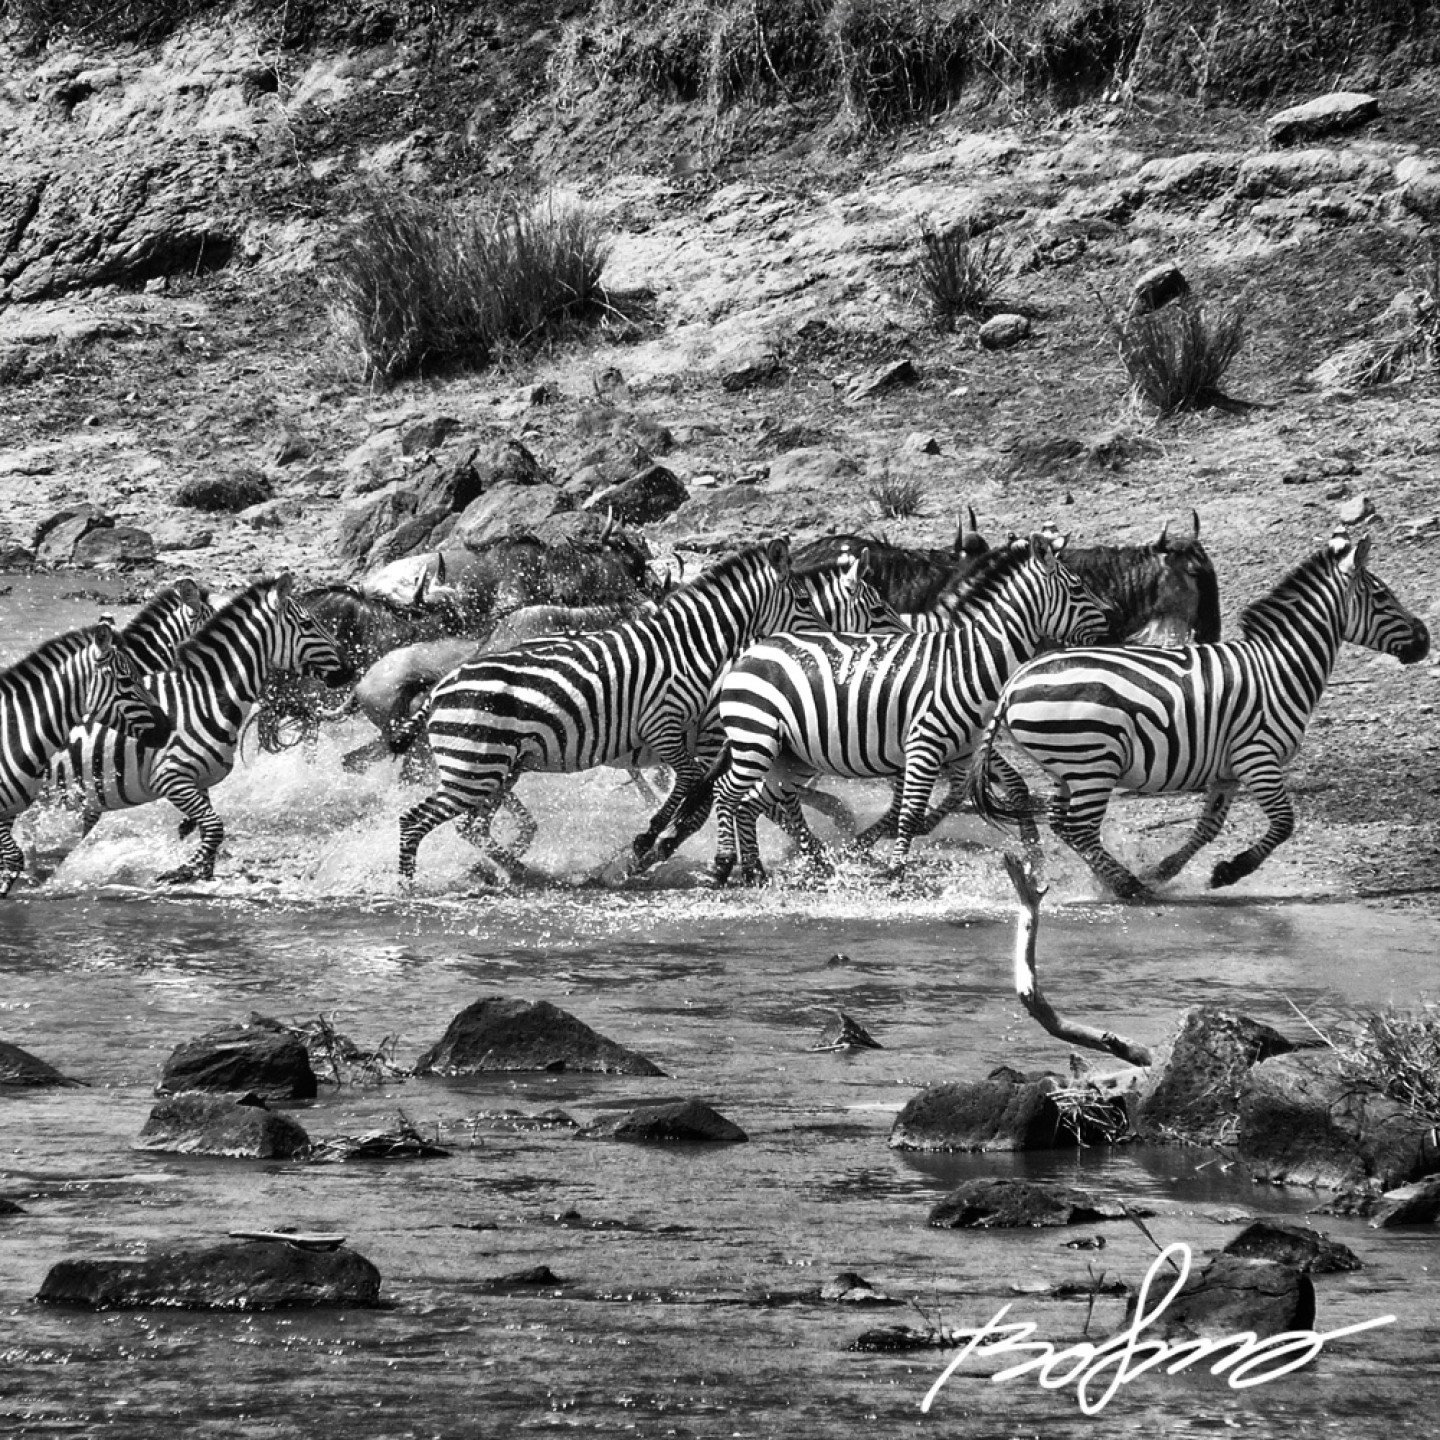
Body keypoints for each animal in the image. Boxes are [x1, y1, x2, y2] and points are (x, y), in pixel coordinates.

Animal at [1, 620, 173, 897]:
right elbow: (15, 857)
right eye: (126, 680)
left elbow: (14, 857)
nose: (168, 729)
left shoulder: (10, 811)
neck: (13, 736)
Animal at [49, 574, 353, 885]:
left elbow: (209, 831)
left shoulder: (195, 780)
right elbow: (214, 827)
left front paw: (197, 867)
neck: (205, 695)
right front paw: (181, 869)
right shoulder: (170, 776)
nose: (350, 669)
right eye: (307, 624)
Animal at [396, 539, 897, 883]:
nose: (901, 639)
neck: (692, 649)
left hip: (498, 767)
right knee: (431, 819)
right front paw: (650, 846)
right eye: (877, 610)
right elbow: (698, 794)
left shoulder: (702, 740)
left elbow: (725, 799)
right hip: (479, 766)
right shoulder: (671, 728)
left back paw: (514, 871)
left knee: (472, 825)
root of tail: (443, 684)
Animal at [675, 534, 1110, 887]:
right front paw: (893, 867)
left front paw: (1033, 857)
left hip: (788, 752)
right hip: (757, 737)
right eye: (1078, 588)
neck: (969, 660)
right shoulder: (923, 742)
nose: (1109, 623)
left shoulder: (964, 748)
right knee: (726, 792)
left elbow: (980, 791)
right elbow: (911, 808)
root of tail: (754, 647)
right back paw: (724, 865)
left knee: (756, 799)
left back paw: (763, 869)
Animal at [965, 532, 1430, 899]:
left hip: (1069, 766)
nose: (1425, 640)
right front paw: (1230, 871)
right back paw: (1128, 887)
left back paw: (1120, 880)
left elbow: (1207, 828)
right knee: (1079, 829)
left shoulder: (1228, 770)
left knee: (1065, 826)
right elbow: (1284, 825)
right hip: (1092, 761)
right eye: (1383, 596)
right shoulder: (1259, 757)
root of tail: (1015, 679)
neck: (1281, 667)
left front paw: (1165, 869)